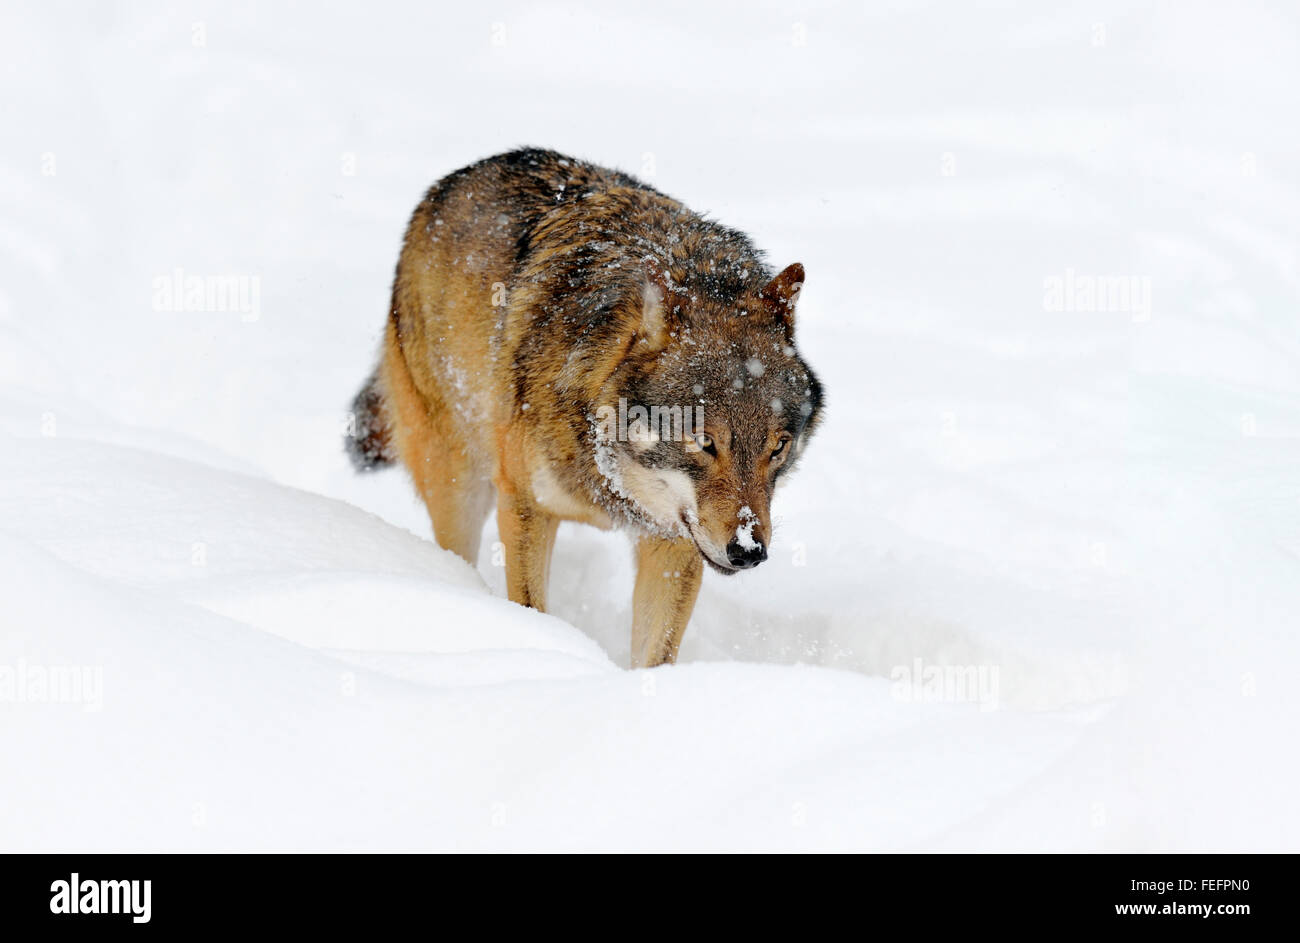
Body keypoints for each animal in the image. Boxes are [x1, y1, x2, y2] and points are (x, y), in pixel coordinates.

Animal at [347, 148, 823, 667]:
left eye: (778, 447)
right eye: (703, 442)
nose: (748, 551)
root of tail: (458, 176)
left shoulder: (674, 538)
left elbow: (655, 655)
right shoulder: (527, 506)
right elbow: (531, 608)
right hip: (458, 482)